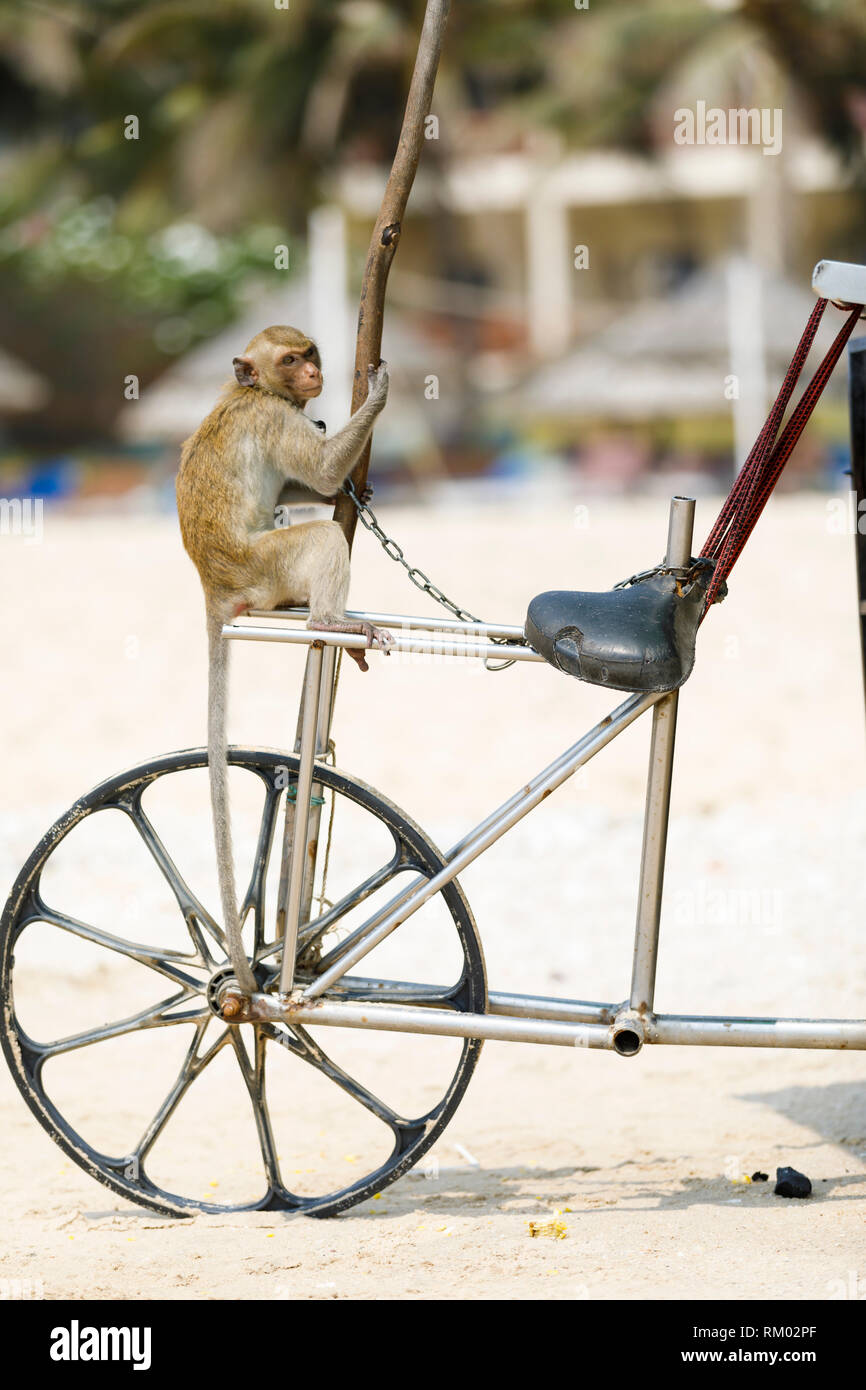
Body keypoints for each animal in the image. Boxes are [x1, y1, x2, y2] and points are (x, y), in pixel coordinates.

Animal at [175, 324, 393, 994]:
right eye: (291, 360)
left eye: (309, 355)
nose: (314, 375)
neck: (258, 391)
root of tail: (213, 584)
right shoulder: (274, 417)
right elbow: (320, 471)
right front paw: (377, 392)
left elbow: (313, 482)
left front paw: (355, 485)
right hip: (264, 566)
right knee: (318, 538)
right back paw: (328, 621)